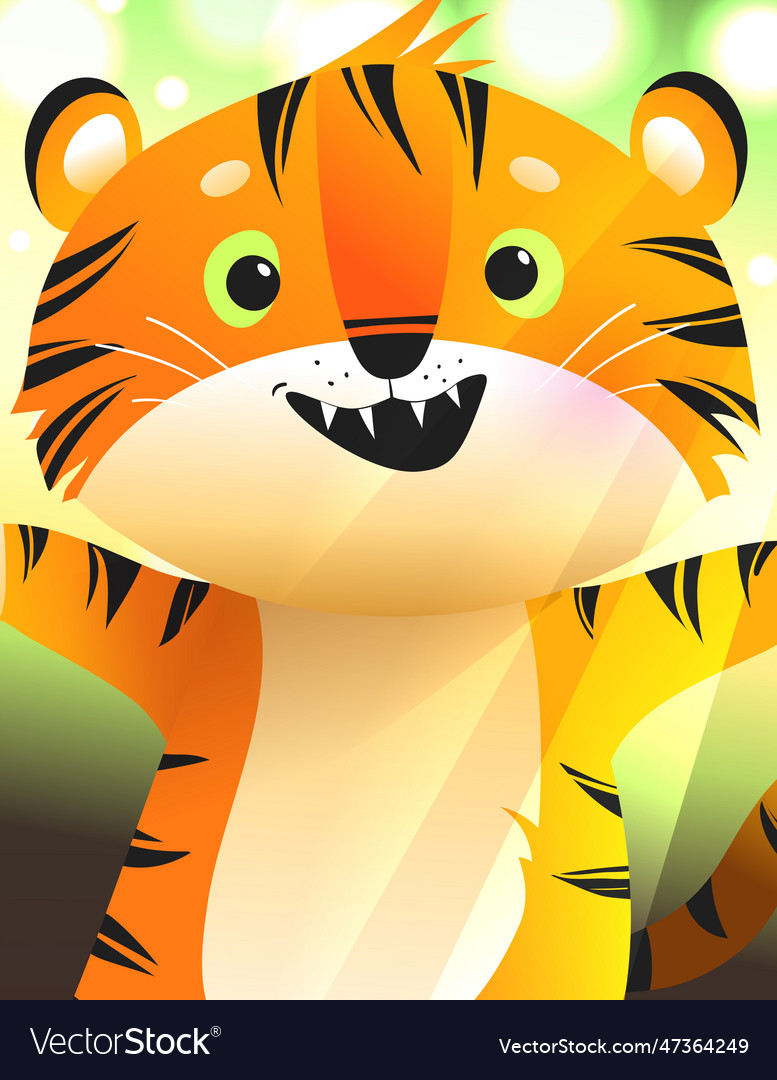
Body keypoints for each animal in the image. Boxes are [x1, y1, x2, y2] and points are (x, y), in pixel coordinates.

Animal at [3, 0, 777, 1000]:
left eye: (517, 269)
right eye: (247, 280)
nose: (391, 345)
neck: (390, 621)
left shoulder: (625, 631)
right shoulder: (171, 625)